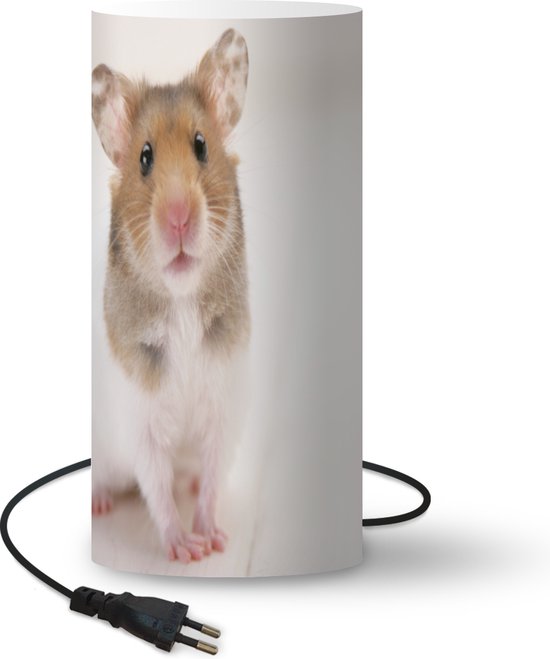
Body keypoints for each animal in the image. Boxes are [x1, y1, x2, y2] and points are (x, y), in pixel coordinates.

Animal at [91, 29, 250, 563]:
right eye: (145, 157)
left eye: (201, 146)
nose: (179, 217)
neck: (180, 302)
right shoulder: (142, 424)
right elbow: (157, 487)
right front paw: (186, 551)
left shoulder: (224, 406)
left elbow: (214, 473)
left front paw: (214, 539)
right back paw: (99, 503)